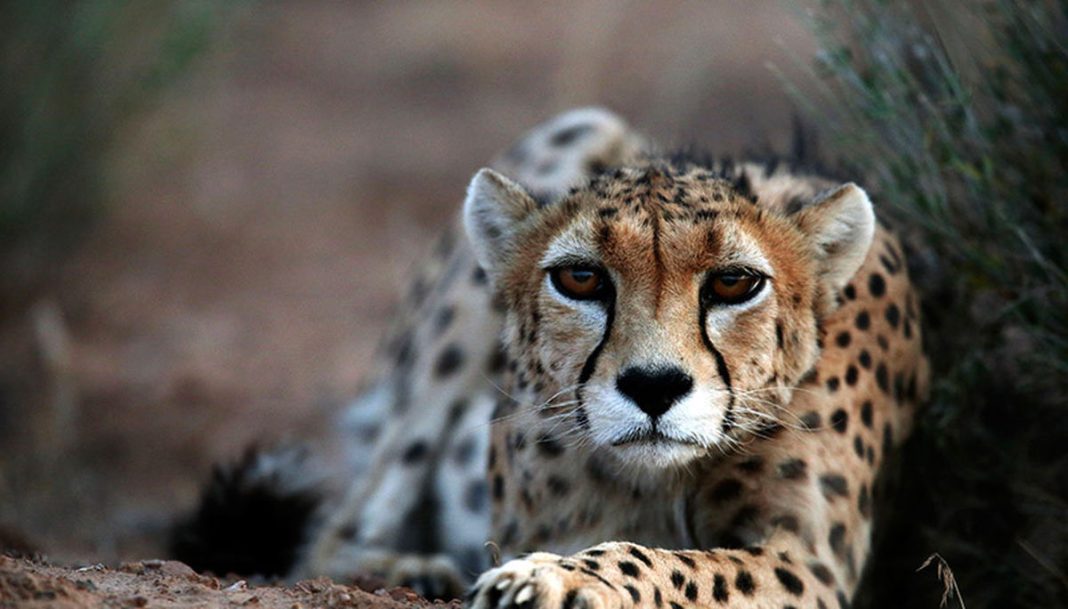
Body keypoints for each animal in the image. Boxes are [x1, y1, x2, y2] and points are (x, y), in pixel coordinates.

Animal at [178, 108, 928, 609]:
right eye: (581, 278)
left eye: (734, 283)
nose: (654, 387)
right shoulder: (538, 521)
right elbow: (658, 555)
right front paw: (549, 575)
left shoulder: (810, 560)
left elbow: (682, 564)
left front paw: (558, 578)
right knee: (333, 535)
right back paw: (411, 568)